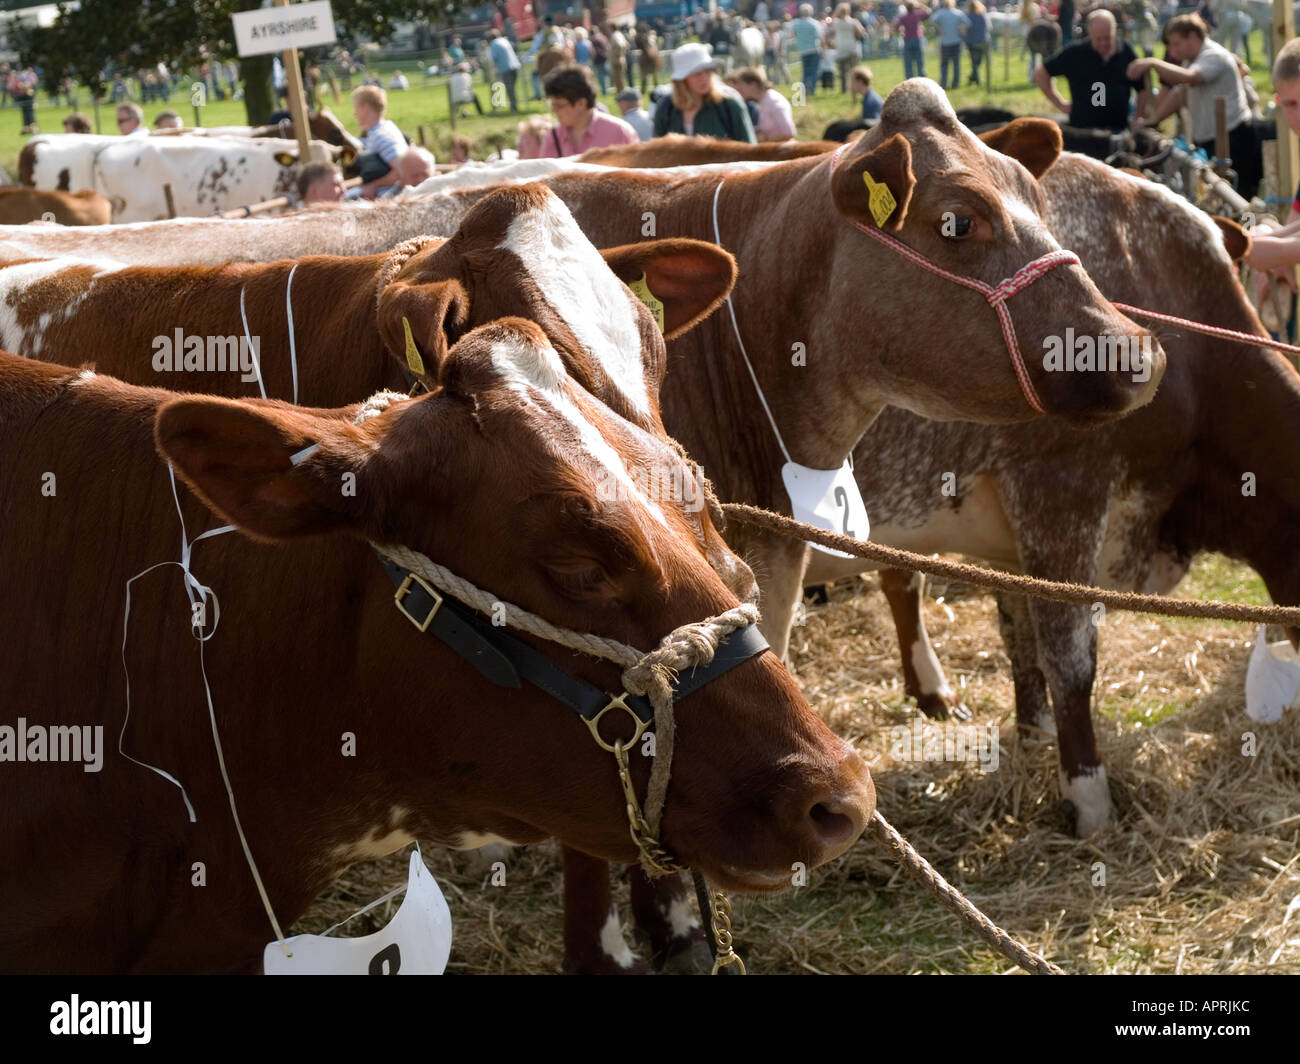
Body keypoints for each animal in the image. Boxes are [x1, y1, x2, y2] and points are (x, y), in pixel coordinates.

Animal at [805, 149, 1280, 838]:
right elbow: (1071, 659)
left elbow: (1020, 637)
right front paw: (1088, 799)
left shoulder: (1012, 534)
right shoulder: (1060, 495)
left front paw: (1036, 735)